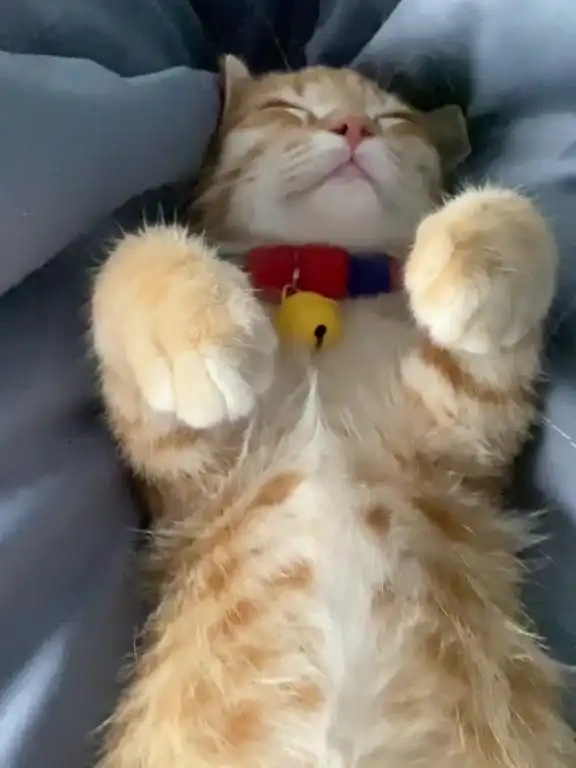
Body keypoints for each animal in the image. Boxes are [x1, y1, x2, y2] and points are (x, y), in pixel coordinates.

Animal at [91, 56, 576, 767]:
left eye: (394, 119)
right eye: (288, 108)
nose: (352, 126)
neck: (326, 285)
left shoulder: (468, 427)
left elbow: (513, 214)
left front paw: (468, 261)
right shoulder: (179, 473)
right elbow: (131, 257)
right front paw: (204, 330)